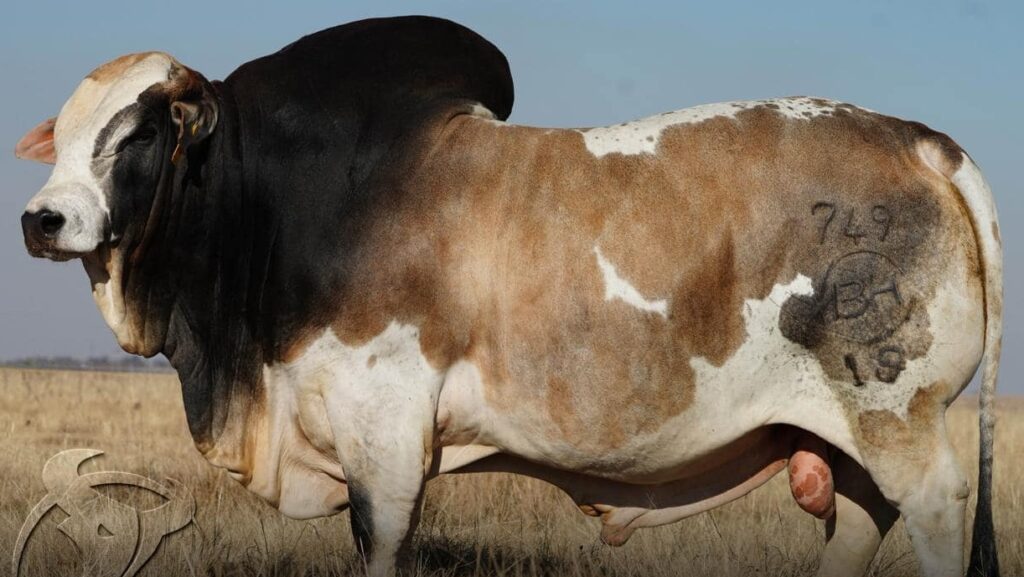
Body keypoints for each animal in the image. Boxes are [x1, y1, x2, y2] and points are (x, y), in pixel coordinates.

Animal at [15, 16, 1001, 577]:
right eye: (64, 134)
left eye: (139, 133)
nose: (42, 219)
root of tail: (918, 140)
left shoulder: (384, 433)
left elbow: (380, 542)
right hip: (848, 440)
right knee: (861, 525)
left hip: (897, 417)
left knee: (937, 509)